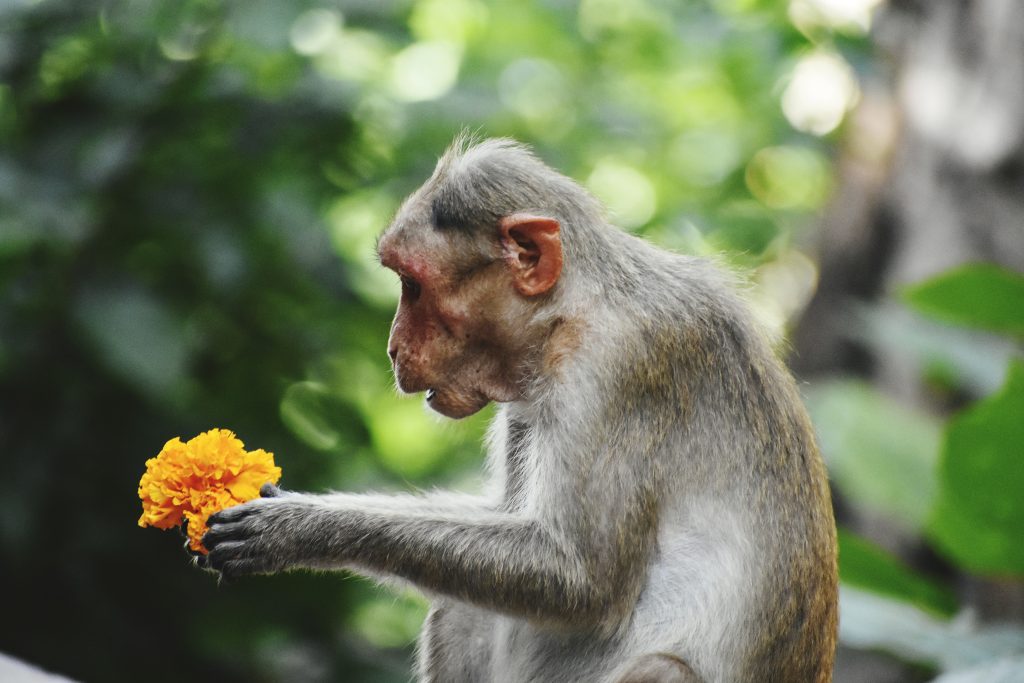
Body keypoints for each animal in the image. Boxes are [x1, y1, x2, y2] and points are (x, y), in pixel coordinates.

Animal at [202, 136, 838, 683]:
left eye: (412, 284)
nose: (392, 348)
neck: (571, 310)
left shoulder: (619, 366)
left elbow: (580, 575)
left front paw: (298, 528)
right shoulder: (523, 402)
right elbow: (506, 525)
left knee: (659, 669)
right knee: (463, 607)